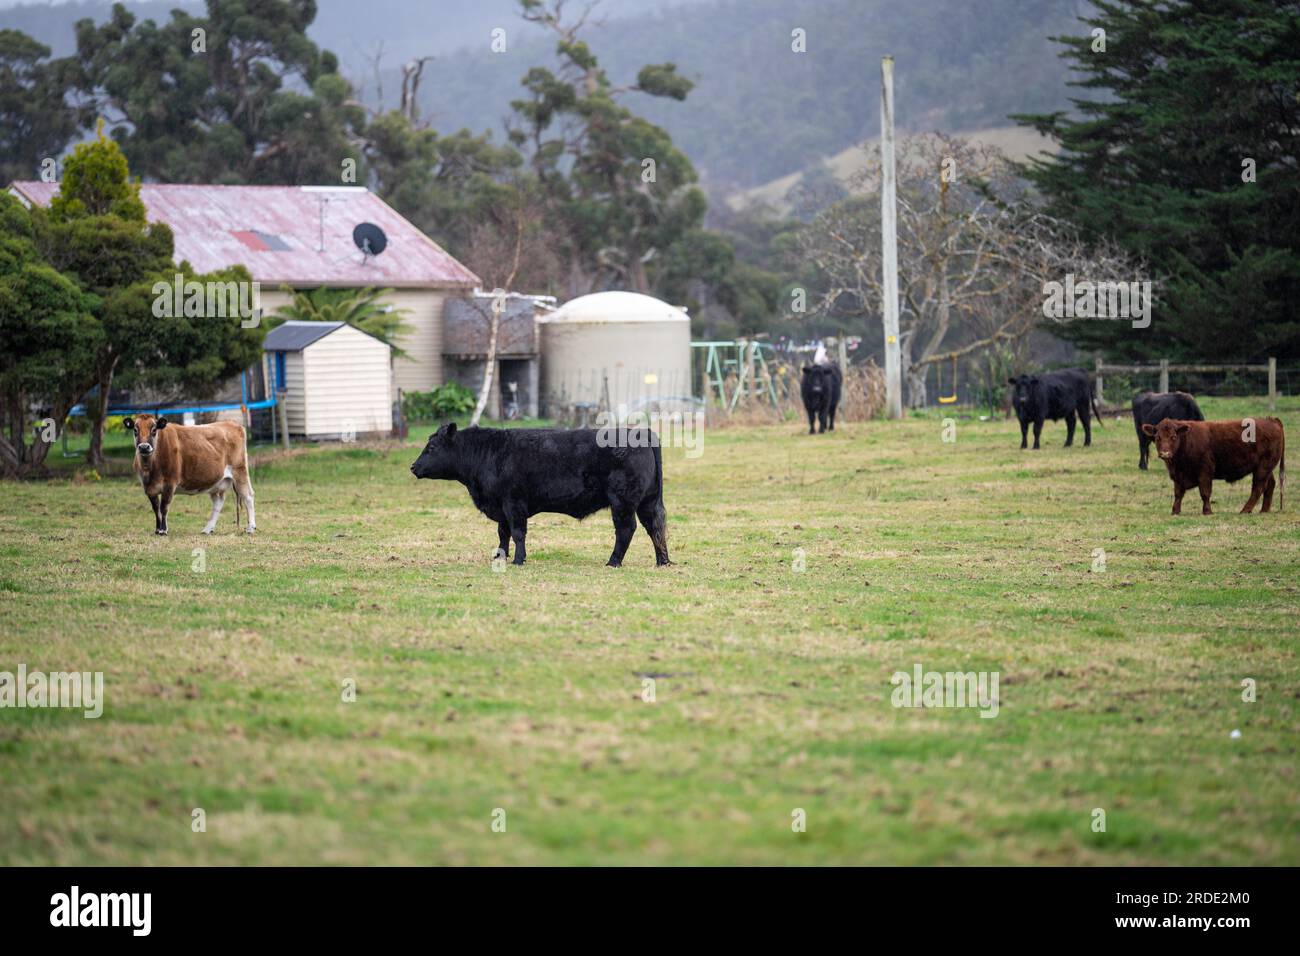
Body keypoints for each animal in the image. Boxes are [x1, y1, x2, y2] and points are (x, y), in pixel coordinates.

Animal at [121, 414, 255, 535]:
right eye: (135, 430)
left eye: (154, 430)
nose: (144, 447)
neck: (150, 469)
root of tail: (232, 423)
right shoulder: (149, 488)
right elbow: (156, 509)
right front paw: (157, 529)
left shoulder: (169, 484)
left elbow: (164, 507)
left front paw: (163, 530)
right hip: (216, 482)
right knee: (218, 502)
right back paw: (208, 529)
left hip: (240, 471)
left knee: (248, 496)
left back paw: (251, 528)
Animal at [410, 423, 670, 567]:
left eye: (431, 447)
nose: (413, 466)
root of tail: (642, 433)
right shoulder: (501, 507)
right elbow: (503, 533)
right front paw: (500, 557)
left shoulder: (513, 502)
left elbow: (517, 533)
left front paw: (518, 560)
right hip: (647, 501)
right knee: (654, 526)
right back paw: (663, 561)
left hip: (622, 501)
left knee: (626, 529)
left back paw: (614, 561)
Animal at [1141, 417, 1285, 515]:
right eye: (1157, 437)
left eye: (1174, 437)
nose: (1165, 453)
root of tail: (1271, 420)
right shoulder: (1178, 476)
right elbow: (1178, 494)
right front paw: (1175, 511)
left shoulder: (1205, 472)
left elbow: (1205, 492)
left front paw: (1207, 511)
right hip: (1266, 468)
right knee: (1270, 485)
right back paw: (1264, 510)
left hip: (1263, 468)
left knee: (1258, 488)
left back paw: (1245, 510)